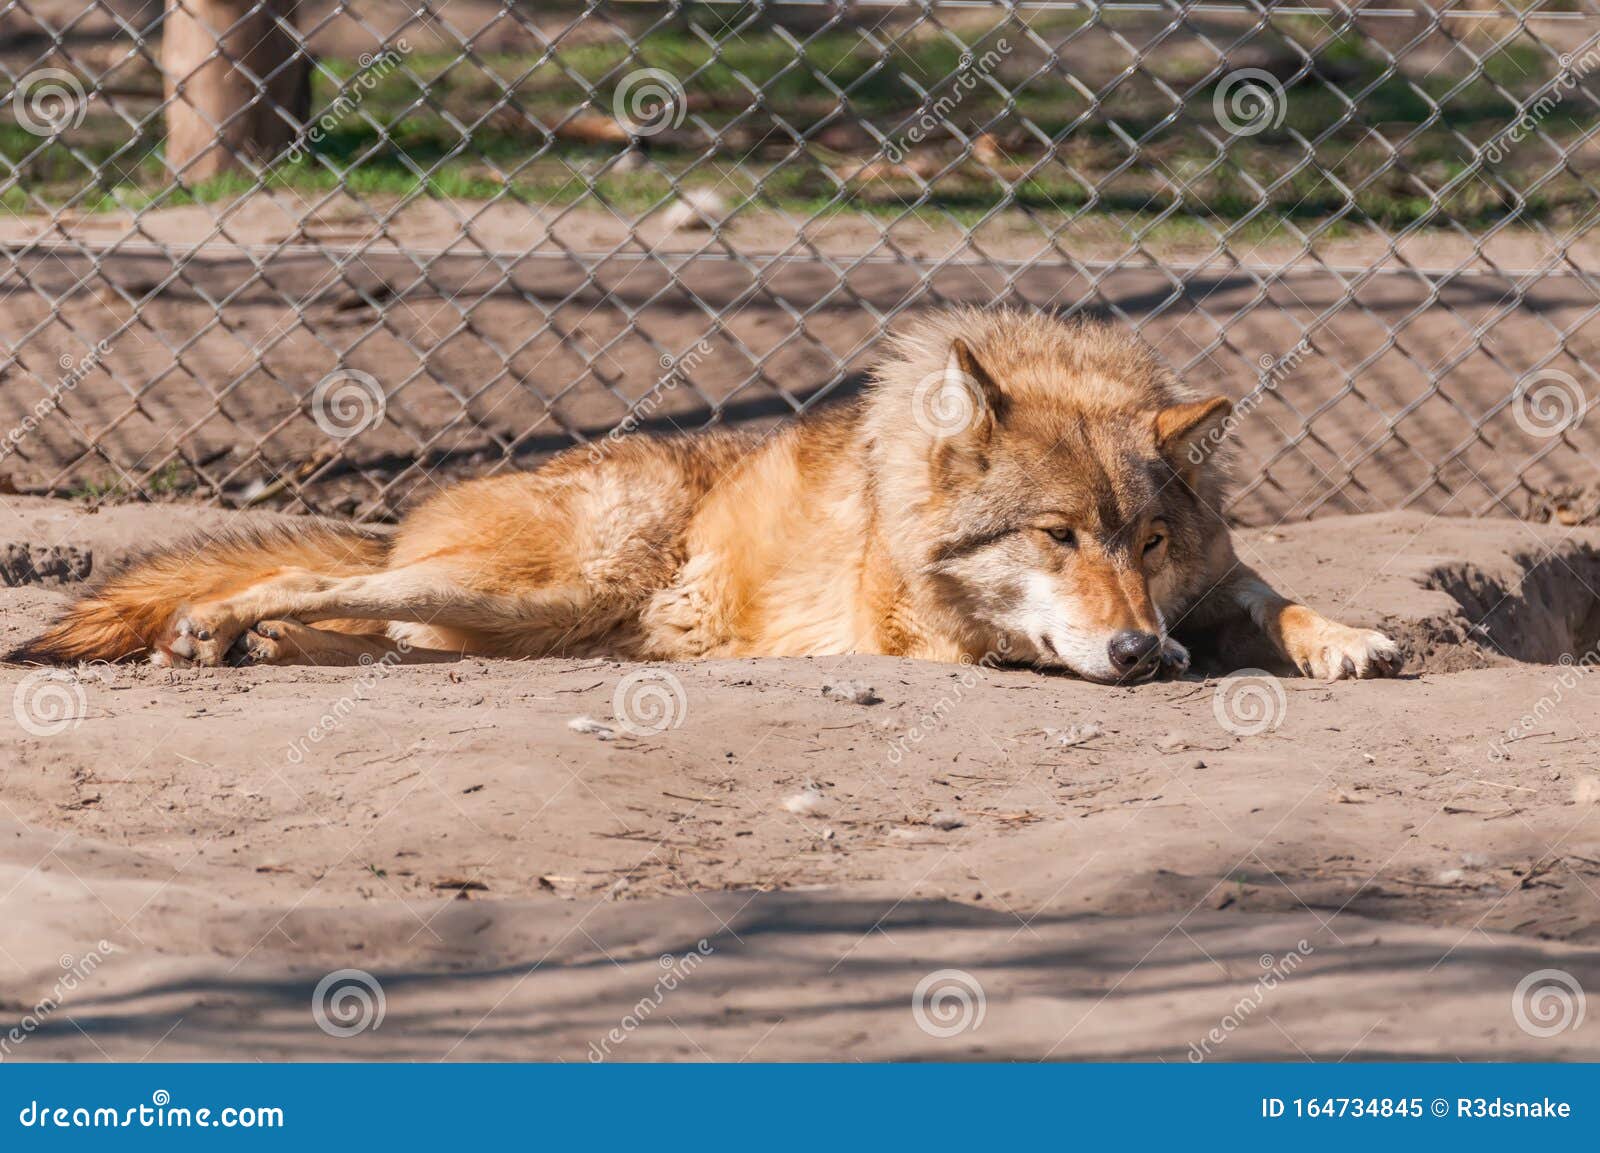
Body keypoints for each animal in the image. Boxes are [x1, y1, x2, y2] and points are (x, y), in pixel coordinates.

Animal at [8, 308, 1402, 683]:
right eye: (1056, 537)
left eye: (1151, 537)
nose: (1140, 652)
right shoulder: (927, 627)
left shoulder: (1211, 579)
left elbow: (1271, 597)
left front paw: (1346, 636)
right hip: (554, 580)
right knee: (310, 578)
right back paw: (217, 628)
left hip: (513, 620)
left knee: (361, 625)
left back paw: (243, 641)